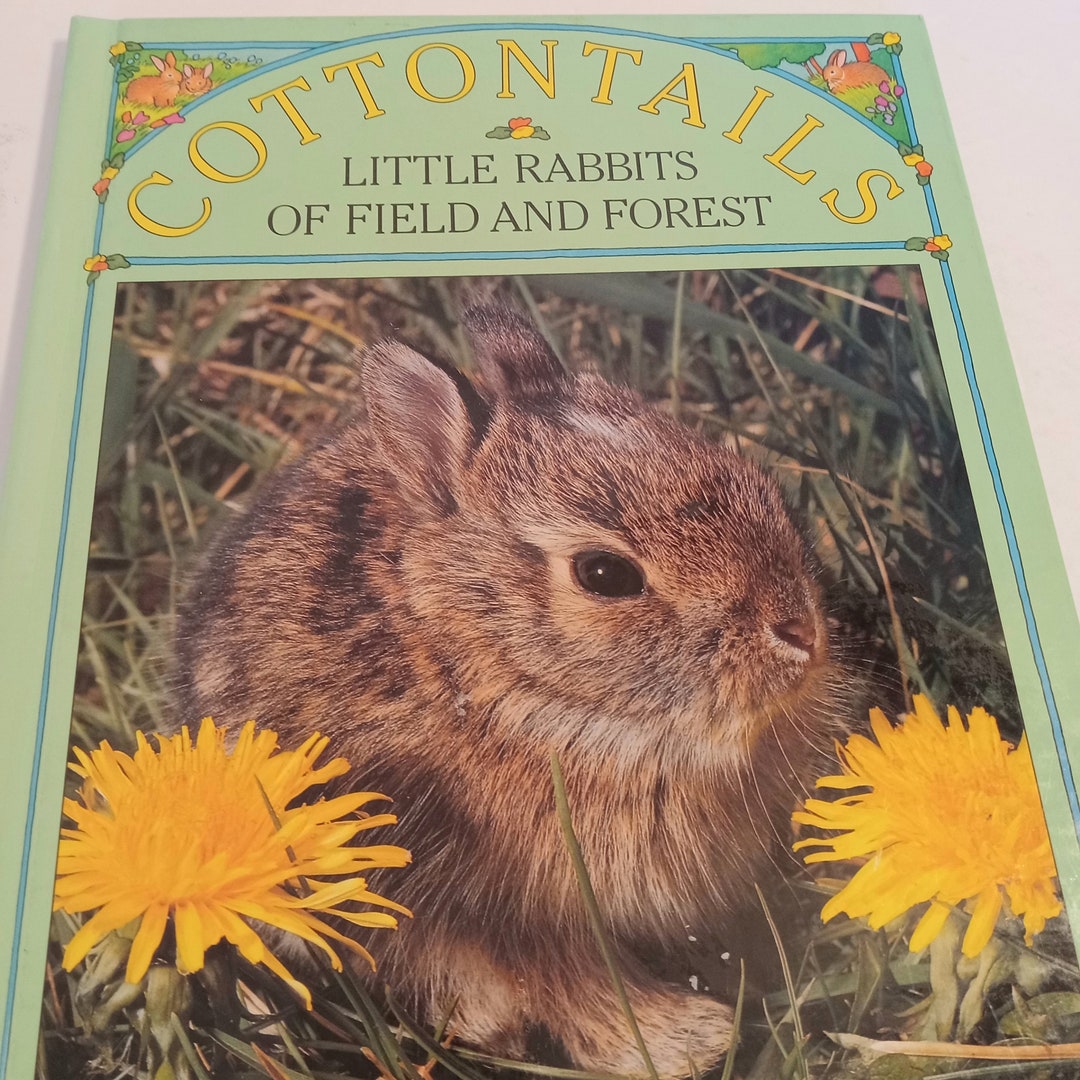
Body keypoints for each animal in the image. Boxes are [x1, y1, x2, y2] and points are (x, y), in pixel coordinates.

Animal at [173, 303, 848, 1078]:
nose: (800, 632)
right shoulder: (481, 902)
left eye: (748, 475)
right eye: (604, 575)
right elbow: (568, 981)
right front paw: (684, 1043)